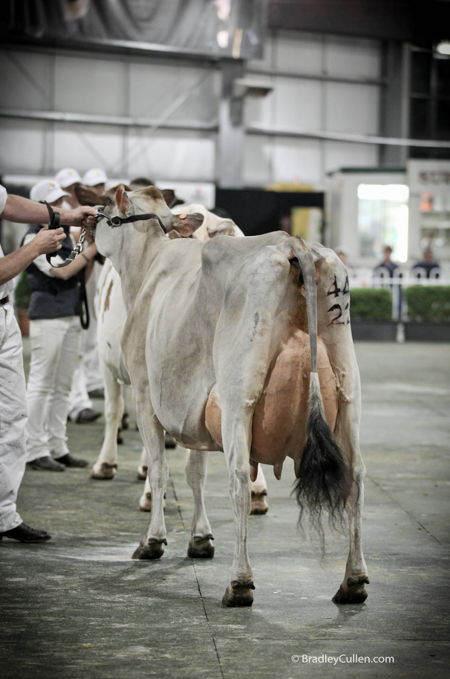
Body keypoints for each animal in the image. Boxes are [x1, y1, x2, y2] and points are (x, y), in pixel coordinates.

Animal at [93, 184, 369, 608]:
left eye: (107, 206)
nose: (88, 221)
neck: (149, 266)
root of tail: (293, 243)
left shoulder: (143, 393)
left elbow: (159, 469)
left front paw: (153, 541)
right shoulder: (195, 409)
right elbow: (194, 472)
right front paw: (200, 538)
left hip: (240, 397)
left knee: (238, 478)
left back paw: (239, 582)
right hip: (348, 391)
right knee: (355, 473)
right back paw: (352, 582)